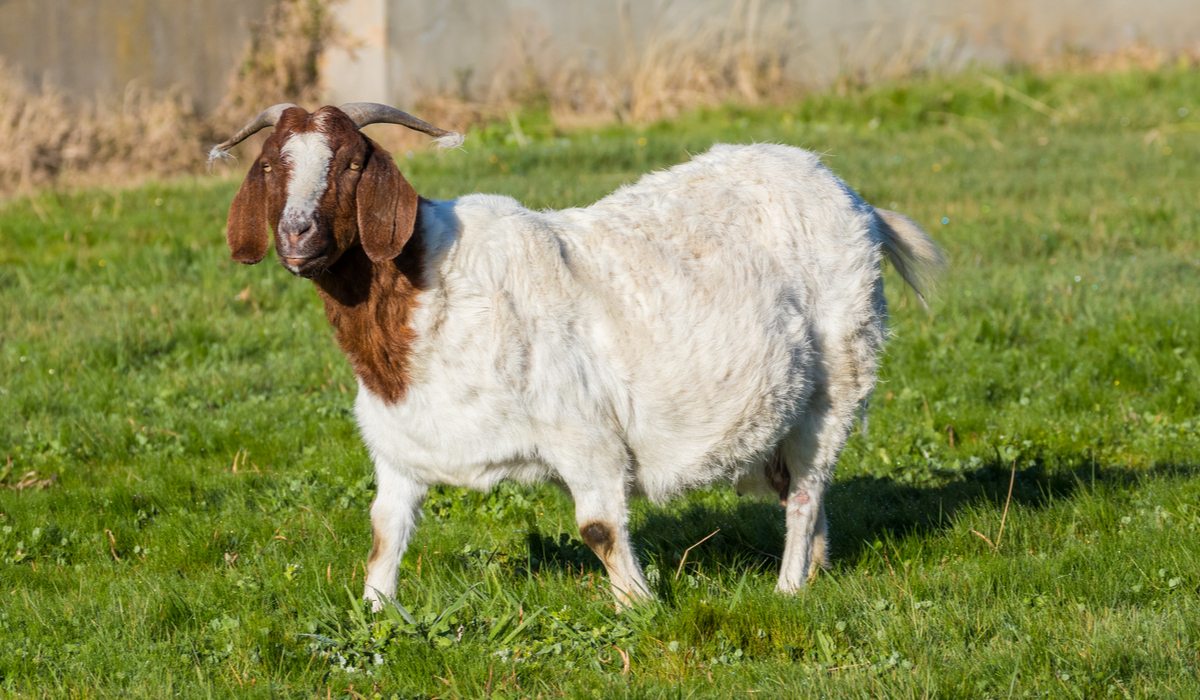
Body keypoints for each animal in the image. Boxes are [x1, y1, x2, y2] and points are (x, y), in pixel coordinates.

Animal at [210, 103, 942, 610]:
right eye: (270, 166)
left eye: (352, 164)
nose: (296, 235)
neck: (425, 288)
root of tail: (854, 200)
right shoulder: (400, 447)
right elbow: (384, 532)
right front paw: (374, 615)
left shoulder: (584, 432)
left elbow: (599, 528)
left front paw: (638, 608)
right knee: (804, 492)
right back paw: (816, 570)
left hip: (839, 376)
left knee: (808, 488)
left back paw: (789, 587)